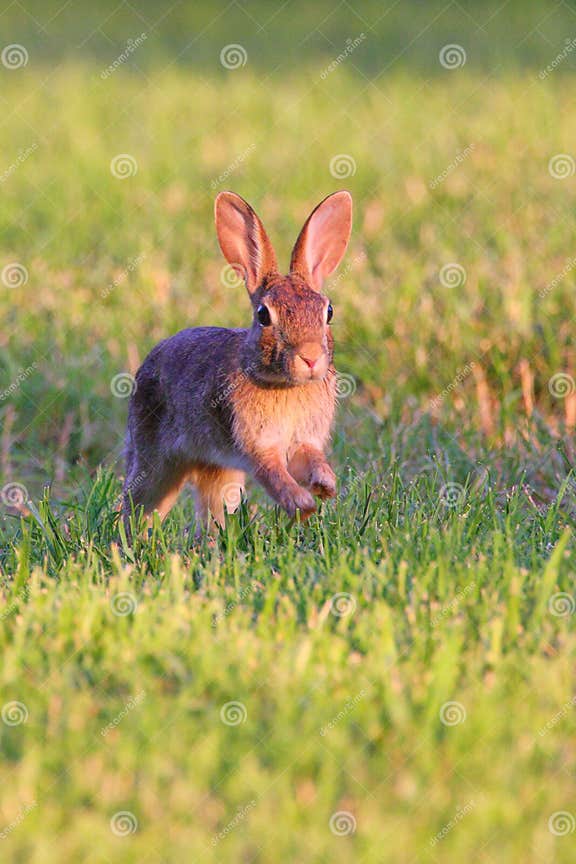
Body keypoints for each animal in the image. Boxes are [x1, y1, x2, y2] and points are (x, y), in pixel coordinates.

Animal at [122, 189, 352, 535]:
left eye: (328, 311)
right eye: (264, 315)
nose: (310, 357)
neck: (284, 384)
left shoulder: (303, 442)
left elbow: (311, 460)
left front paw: (325, 486)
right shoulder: (258, 446)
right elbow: (274, 474)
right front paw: (302, 504)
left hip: (219, 471)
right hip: (156, 463)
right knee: (136, 501)